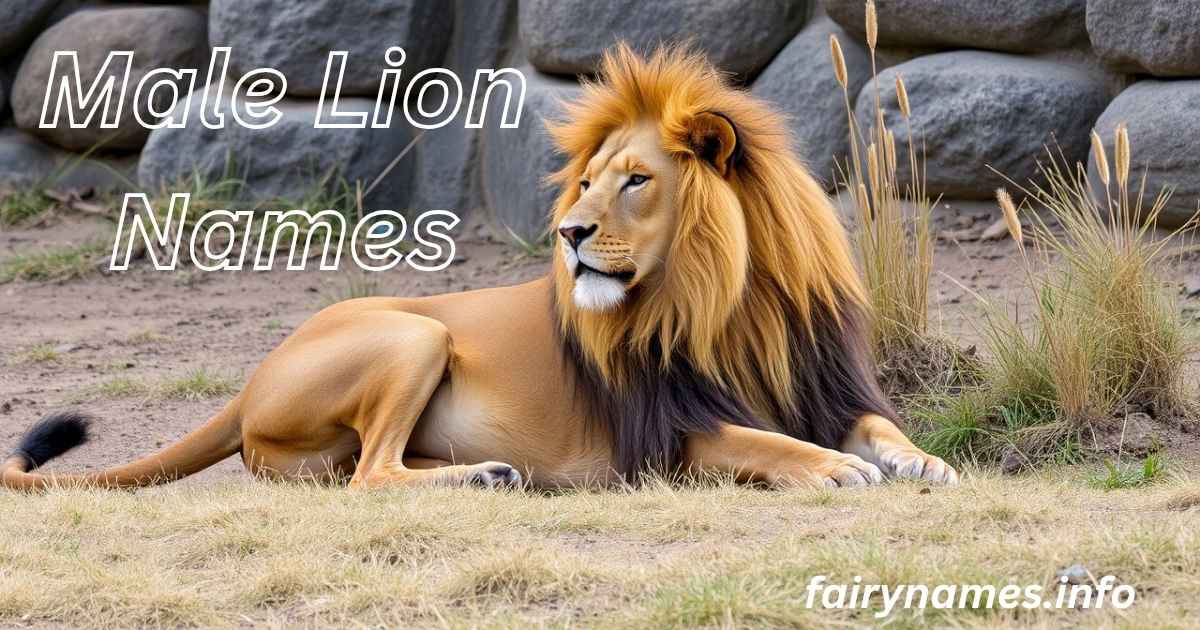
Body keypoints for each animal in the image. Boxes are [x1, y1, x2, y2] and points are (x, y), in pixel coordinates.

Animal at [2, 45, 957, 492]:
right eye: (585, 181)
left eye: (636, 180)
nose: (569, 233)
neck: (730, 302)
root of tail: (250, 381)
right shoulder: (665, 435)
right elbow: (766, 441)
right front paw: (830, 467)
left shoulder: (824, 387)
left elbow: (883, 427)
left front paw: (925, 462)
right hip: (414, 334)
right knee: (371, 477)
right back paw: (483, 476)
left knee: (368, 467)